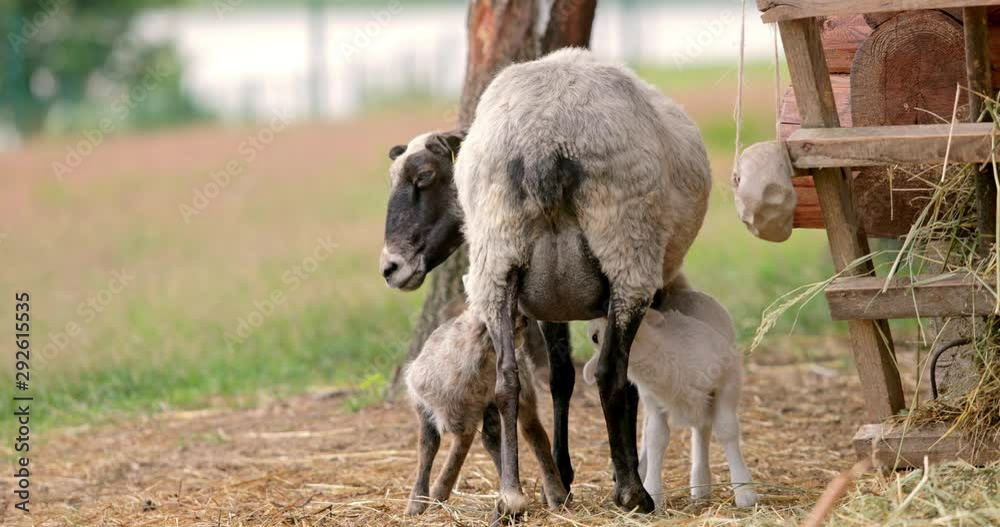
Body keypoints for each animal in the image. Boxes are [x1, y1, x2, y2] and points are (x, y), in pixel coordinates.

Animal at [404, 308, 568, 516]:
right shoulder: (423, 406)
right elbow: (427, 448)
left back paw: (554, 494)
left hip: (519, 394)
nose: (526, 320)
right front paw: (416, 503)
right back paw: (440, 491)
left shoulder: (491, 400)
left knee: (531, 434)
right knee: (468, 440)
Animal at [453, 47, 711, 513]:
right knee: (611, 373)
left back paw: (511, 497)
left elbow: (560, 379)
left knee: (507, 380)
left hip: (496, 258)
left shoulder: (545, 302)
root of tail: (543, 139)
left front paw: (561, 478)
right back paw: (633, 494)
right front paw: (616, 473)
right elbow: (625, 380)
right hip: (626, 248)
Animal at [583, 290, 759, 510]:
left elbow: (726, 430)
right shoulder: (653, 400)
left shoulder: (729, 379)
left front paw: (745, 491)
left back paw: (700, 485)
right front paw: (653, 493)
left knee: (703, 427)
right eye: (594, 337)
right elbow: (656, 437)